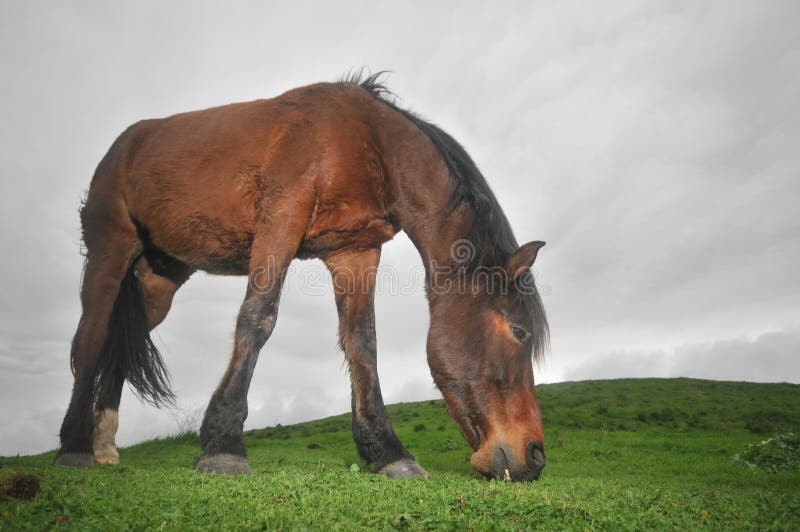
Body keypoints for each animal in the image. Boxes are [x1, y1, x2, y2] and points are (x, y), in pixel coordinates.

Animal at [55, 72, 549, 481]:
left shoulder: (355, 251)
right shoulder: (281, 218)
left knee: (121, 347)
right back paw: (75, 446)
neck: (367, 141)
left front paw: (389, 453)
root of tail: (125, 144)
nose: (535, 456)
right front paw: (223, 444)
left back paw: (104, 447)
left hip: (159, 281)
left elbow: (362, 344)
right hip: (109, 251)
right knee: (92, 337)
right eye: (520, 331)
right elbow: (257, 319)